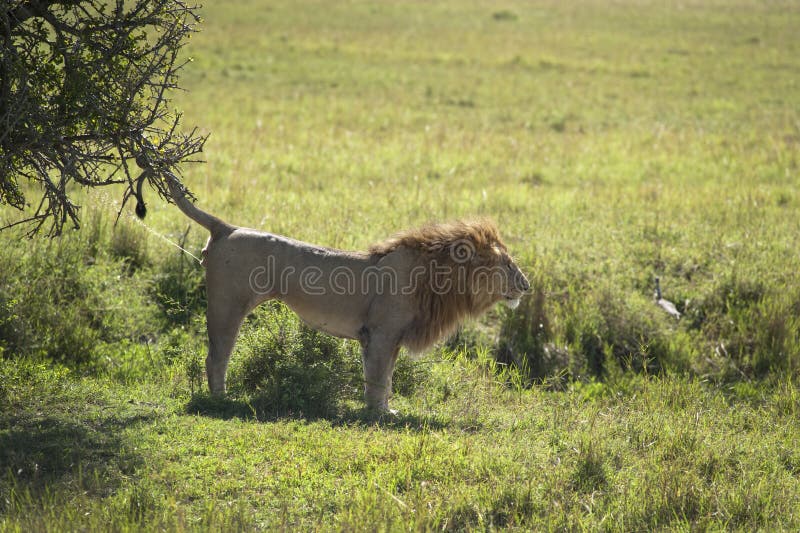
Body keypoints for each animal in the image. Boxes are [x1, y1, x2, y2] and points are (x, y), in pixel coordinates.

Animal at [166, 177, 530, 411]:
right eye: (507, 263)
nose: (527, 286)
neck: (437, 276)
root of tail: (227, 228)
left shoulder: (389, 339)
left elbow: (384, 378)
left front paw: (385, 410)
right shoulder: (380, 334)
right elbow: (378, 378)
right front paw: (378, 415)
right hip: (227, 307)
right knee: (216, 357)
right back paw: (221, 401)